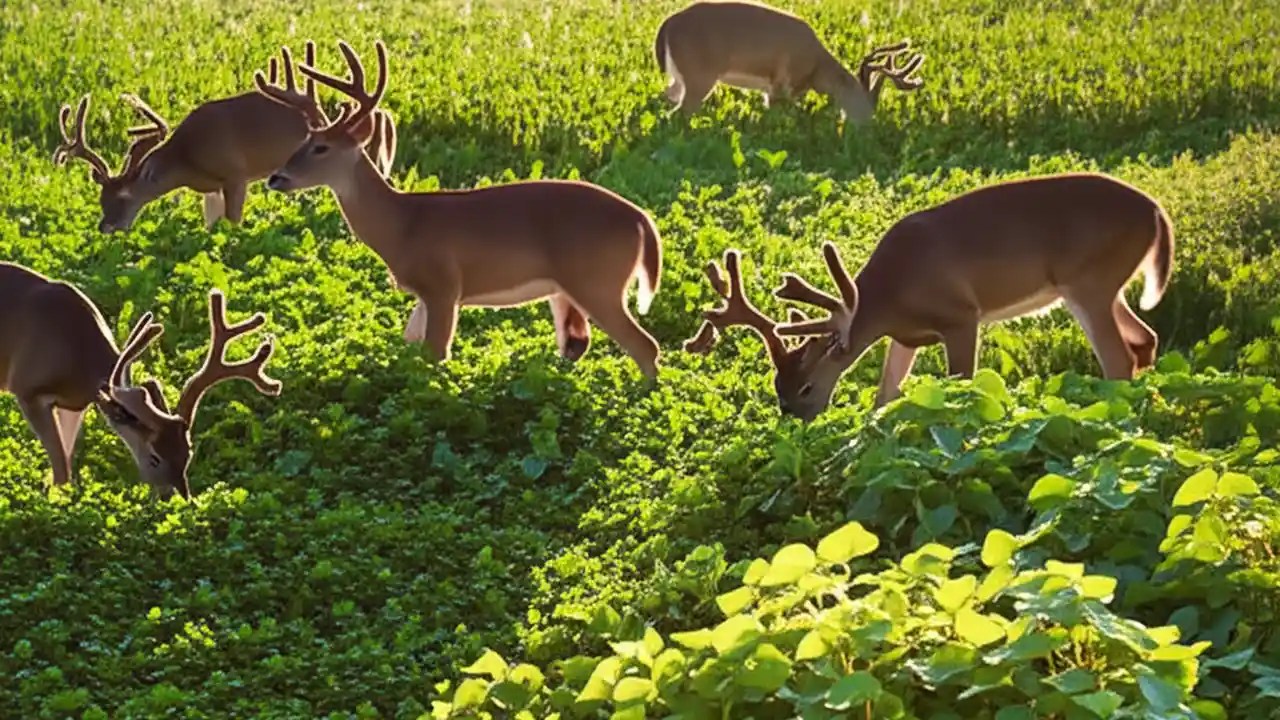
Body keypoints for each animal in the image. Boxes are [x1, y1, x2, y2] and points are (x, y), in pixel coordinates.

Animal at [0, 262, 282, 498]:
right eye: (154, 457)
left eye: (188, 452)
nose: (177, 497)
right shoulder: (26, 388)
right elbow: (61, 467)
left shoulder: (74, 405)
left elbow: (66, 456)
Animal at [52, 42, 398, 234]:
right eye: (101, 198)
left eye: (124, 196)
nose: (105, 226)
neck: (187, 159)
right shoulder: (212, 189)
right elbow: (211, 226)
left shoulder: (235, 174)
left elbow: (234, 222)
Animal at [252, 40, 666, 378]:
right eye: (303, 141)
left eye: (321, 147)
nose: (276, 178)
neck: (401, 225)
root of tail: (642, 221)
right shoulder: (422, 295)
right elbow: (411, 347)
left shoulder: (443, 284)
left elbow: (436, 354)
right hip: (569, 289)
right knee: (579, 343)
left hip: (597, 280)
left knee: (646, 346)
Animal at [654, 1, 924, 119]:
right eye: (864, 104)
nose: (867, 127)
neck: (816, 69)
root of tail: (667, 24)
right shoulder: (782, 84)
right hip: (700, 74)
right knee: (680, 111)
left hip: (682, 76)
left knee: (669, 95)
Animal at [683, 173, 1176, 421]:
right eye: (776, 387)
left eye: (805, 386)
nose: (794, 420)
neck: (889, 294)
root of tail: (1156, 211)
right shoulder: (905, 335)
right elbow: (884, 397)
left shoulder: (961, 315)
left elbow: (963, 384)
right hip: (1103, 286)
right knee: (1145, 340)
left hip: (1088, 281)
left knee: (1118, 359)